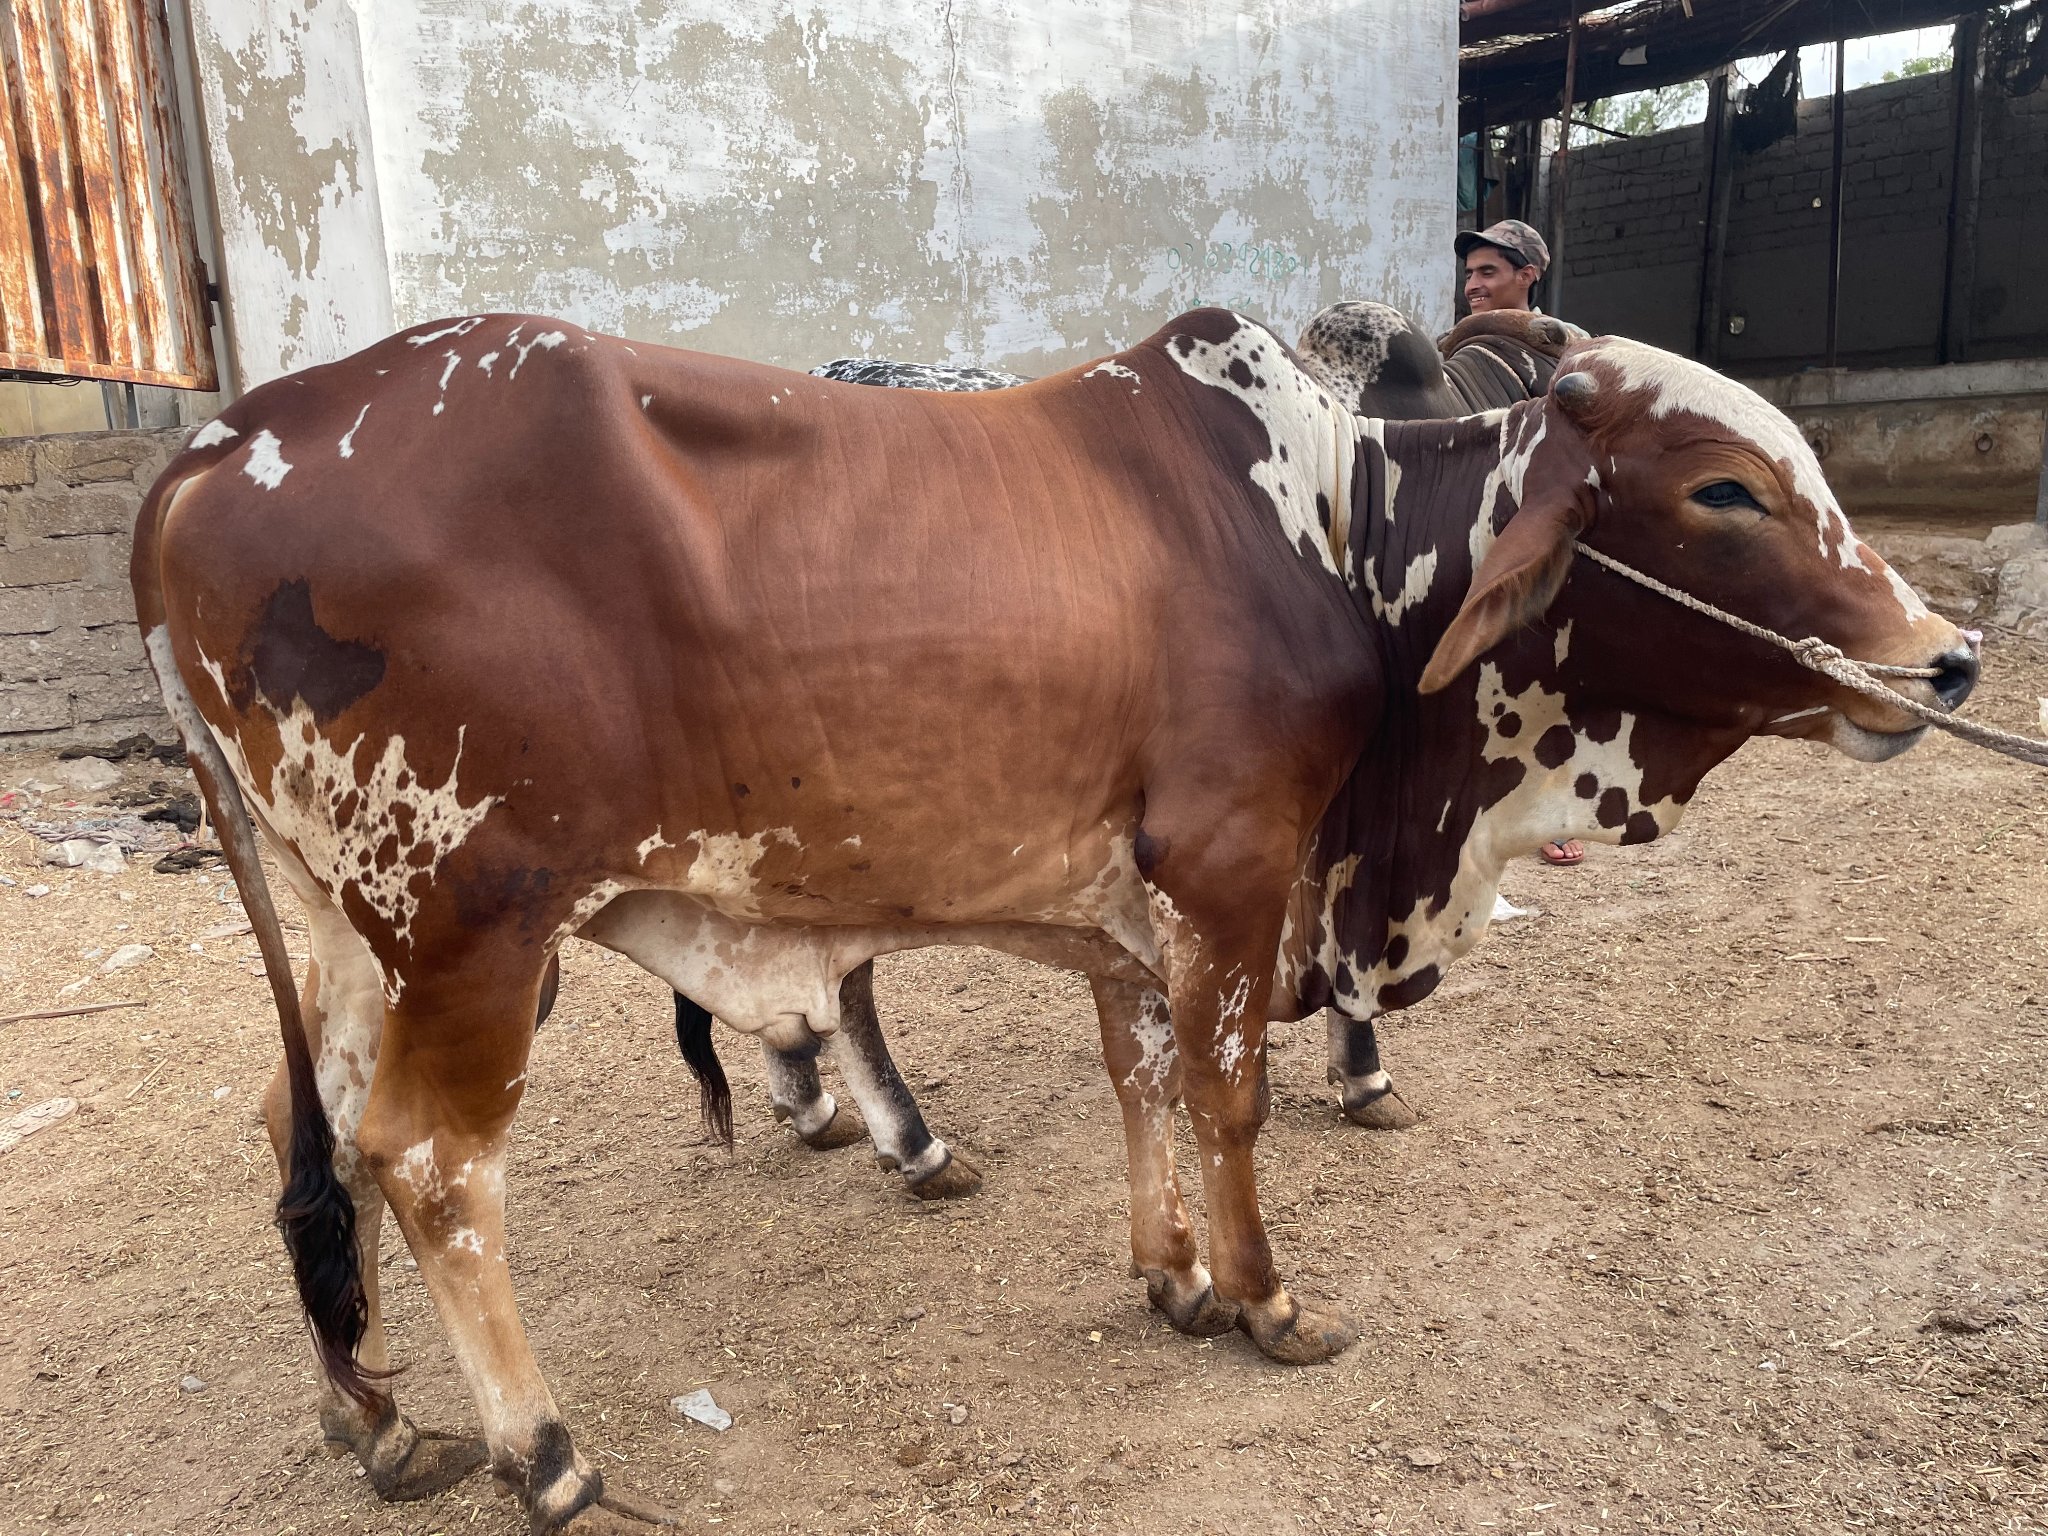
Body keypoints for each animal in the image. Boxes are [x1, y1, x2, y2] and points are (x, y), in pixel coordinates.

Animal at [135, 307, 1974, 1532]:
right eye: (1725, 492)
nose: (1946, 657)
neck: (1330, 534)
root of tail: (210, 448)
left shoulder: (1132, 913)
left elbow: (1142, 1075)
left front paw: (1172, 1275)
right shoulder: (1234, 864)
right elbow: (1228, 1096)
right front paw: (1266, 1299)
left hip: (346, 927)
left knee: (303, 1133)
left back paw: (374, 1414)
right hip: (473, 919)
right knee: (432, 1164)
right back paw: (547, 1448)